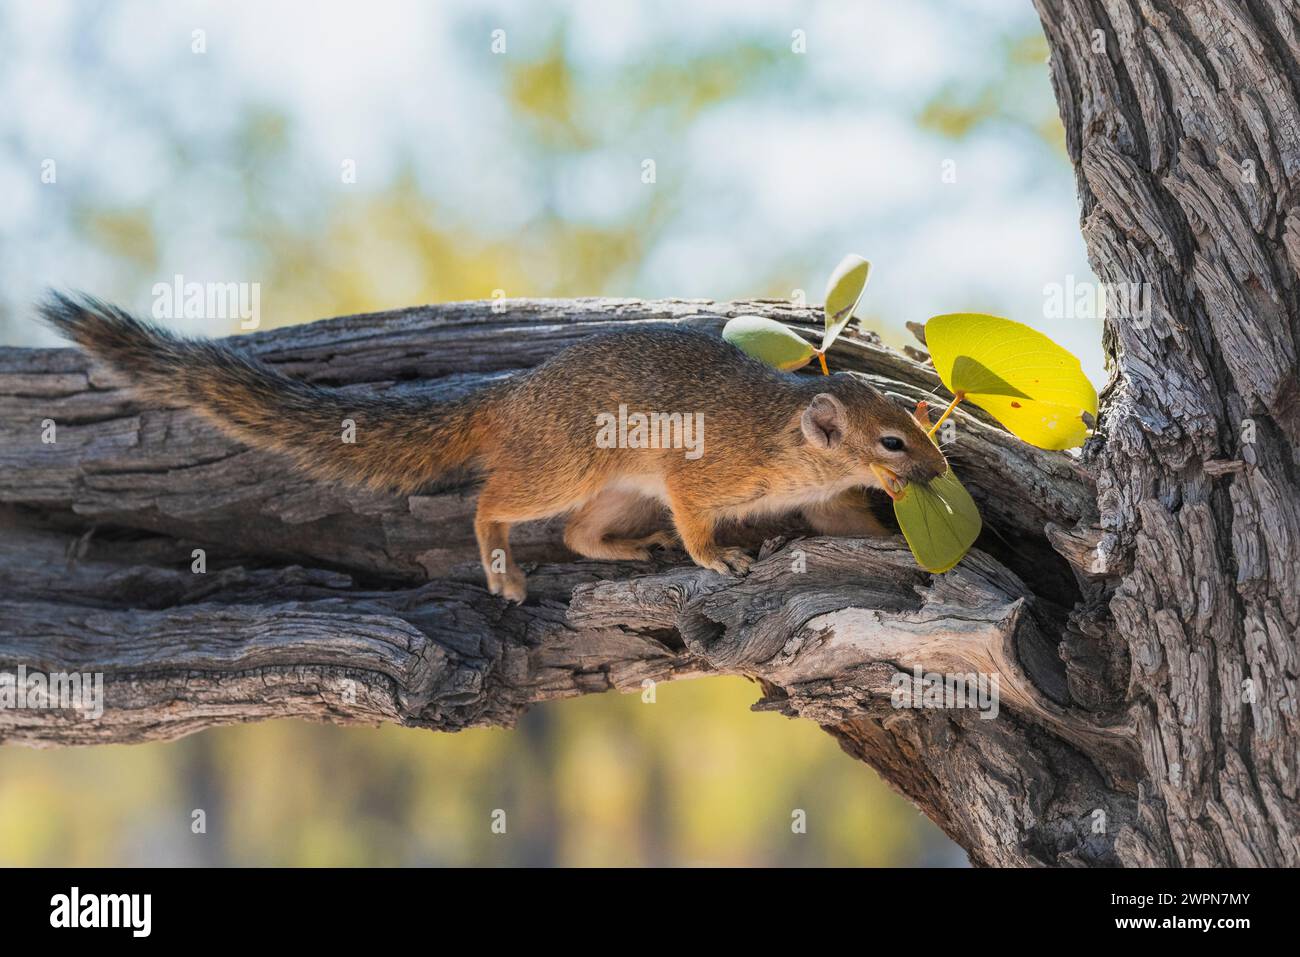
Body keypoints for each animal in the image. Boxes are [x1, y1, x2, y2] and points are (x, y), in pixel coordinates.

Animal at [39, 293, 947, 602]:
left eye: (916, 422)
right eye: (893, 440)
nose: (941, 471)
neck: (785, 435)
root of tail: (512, 396)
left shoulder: (820, 495)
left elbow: (841, 519)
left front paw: (892, 533)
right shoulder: (702, 473)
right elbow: (696, 519)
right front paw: (716, 557)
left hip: (610, 489)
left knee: (578, 532)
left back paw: (624, 550)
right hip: (567, 467)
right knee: (492, 503)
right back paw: (503, 569)